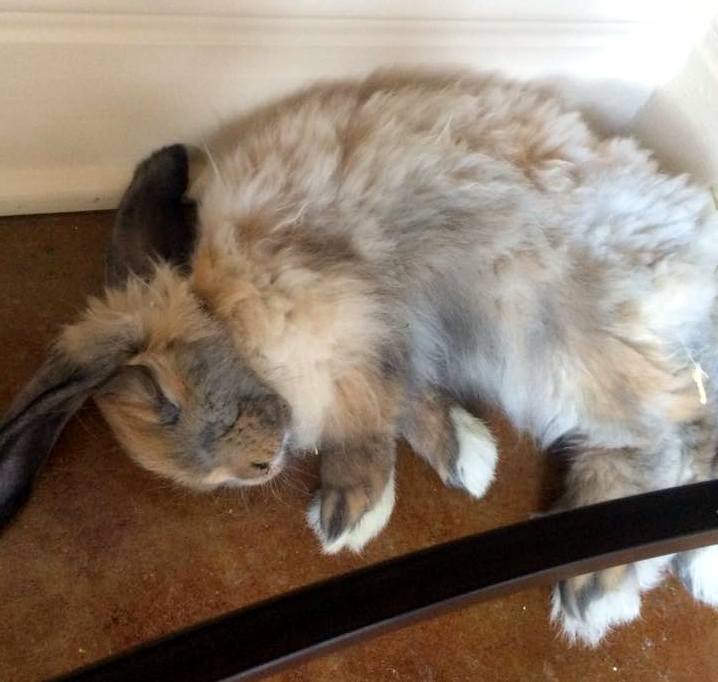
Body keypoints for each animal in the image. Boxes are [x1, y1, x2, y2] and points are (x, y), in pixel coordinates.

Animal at [2, 67, 718, 647]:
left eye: (166, 397)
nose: (257, 471)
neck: (222, 308)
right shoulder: (389, 338)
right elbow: (406, 401)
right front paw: (468, 458)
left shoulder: (340, 317)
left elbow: (365, 419)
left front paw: (348, 515)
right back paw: (651, 577)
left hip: (565, 335)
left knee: (668, 439)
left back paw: (602, 588)